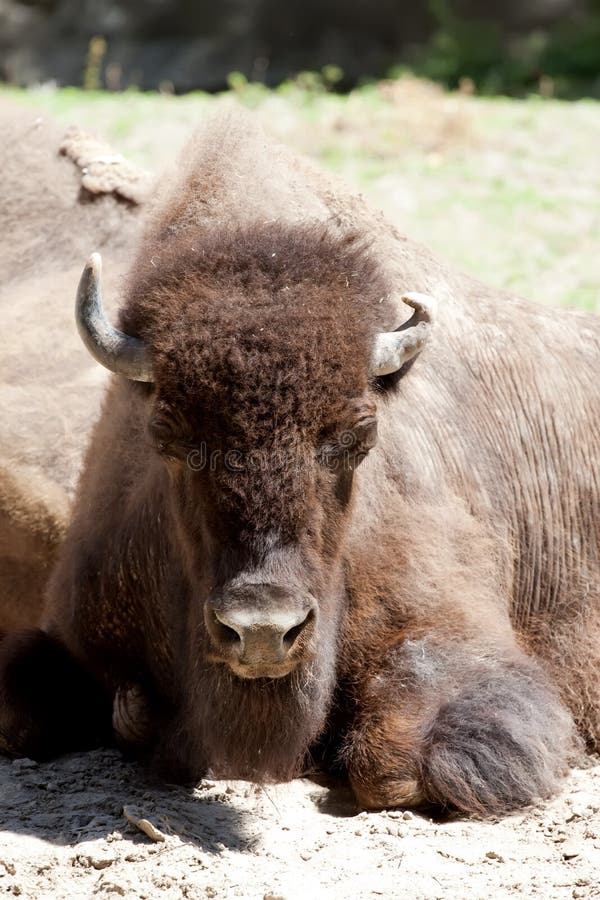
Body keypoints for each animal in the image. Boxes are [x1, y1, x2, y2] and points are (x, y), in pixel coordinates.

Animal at [1, 112, 598, 816]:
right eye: (166, 434)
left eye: (360, 434)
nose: (262, 629)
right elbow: (24, 709)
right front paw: (139, 715)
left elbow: (408, 762)